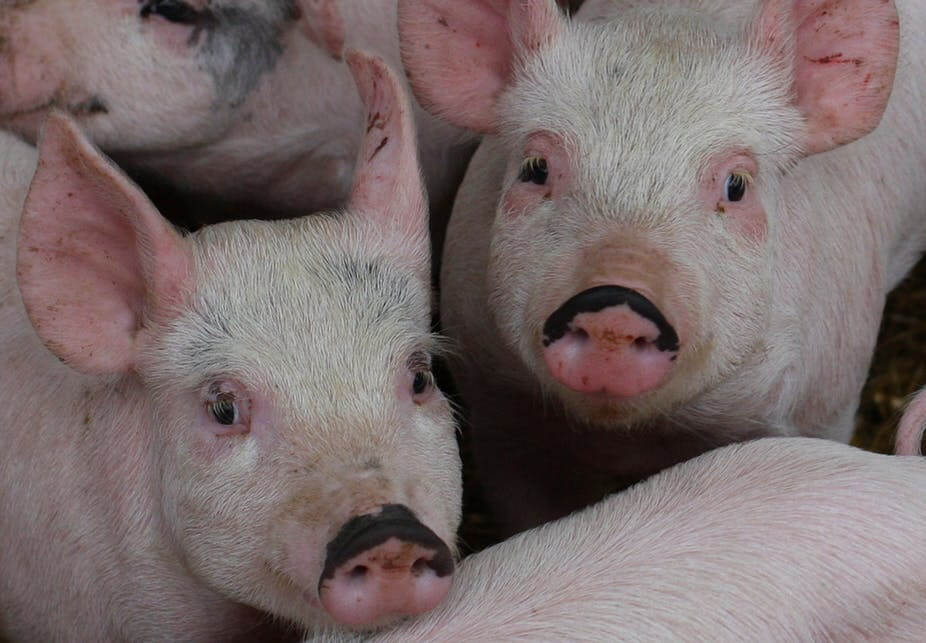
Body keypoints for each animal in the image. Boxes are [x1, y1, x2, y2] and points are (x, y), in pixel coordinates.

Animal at [397, 0, 926, 533]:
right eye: (536, 168)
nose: (614, 304)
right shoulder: (497, 409)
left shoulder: (830, 398)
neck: (635, 435)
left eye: (737, 185)